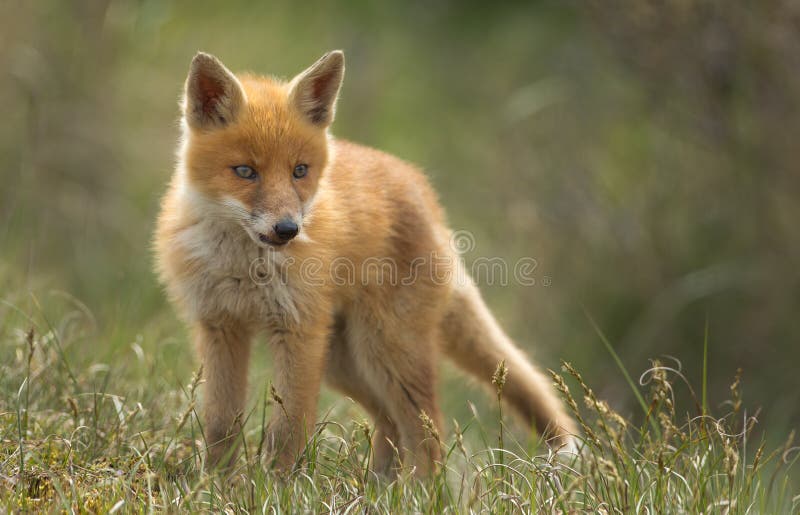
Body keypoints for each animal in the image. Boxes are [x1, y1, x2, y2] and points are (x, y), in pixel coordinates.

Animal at [154, 50, 577, 475]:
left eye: (299, 171)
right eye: (245, 171)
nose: (288, 229)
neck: (243, 268)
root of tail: (423, 191)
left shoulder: (299, 329)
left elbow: (289, 428)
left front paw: (277, 485)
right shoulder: (220, 327)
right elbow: (221, 424)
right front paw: (216, 482)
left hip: (384, 349)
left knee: (428, 434)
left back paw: (421, 490)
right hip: (345, 360)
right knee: (390, 423)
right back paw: (379, 484)